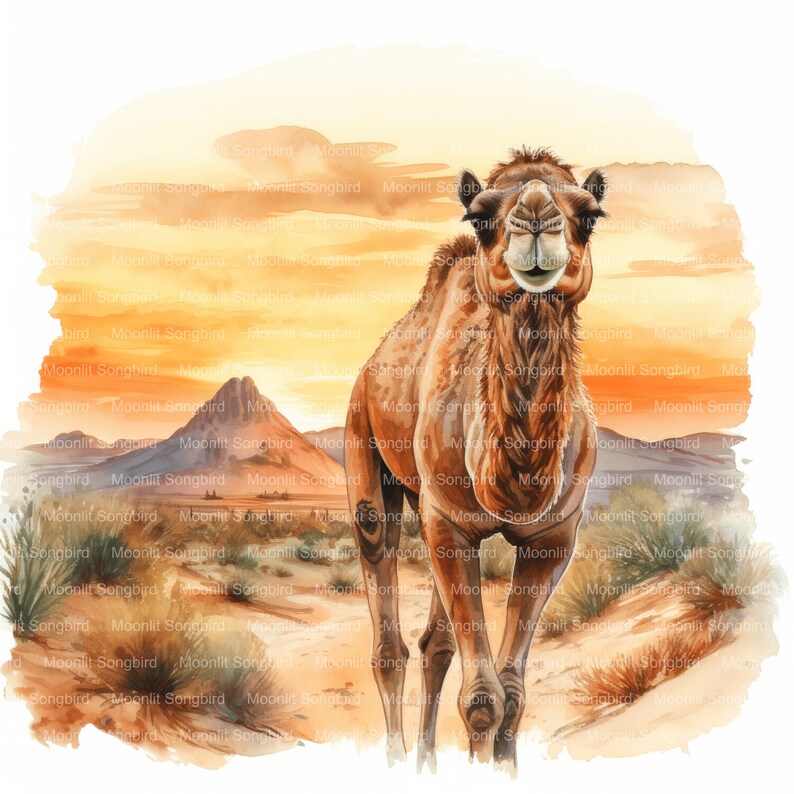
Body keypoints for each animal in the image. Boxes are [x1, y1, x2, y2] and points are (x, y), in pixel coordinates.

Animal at [344, 147, 606, 772]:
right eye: (481, 216)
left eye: (590, 216)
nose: (535, 217)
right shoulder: (450, 522)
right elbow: (484, 698)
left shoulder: (553, 538)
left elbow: (511, 694)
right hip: (365, 438)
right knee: (385, 618)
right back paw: (396, 761)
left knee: (435, 646)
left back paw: (425, 762)